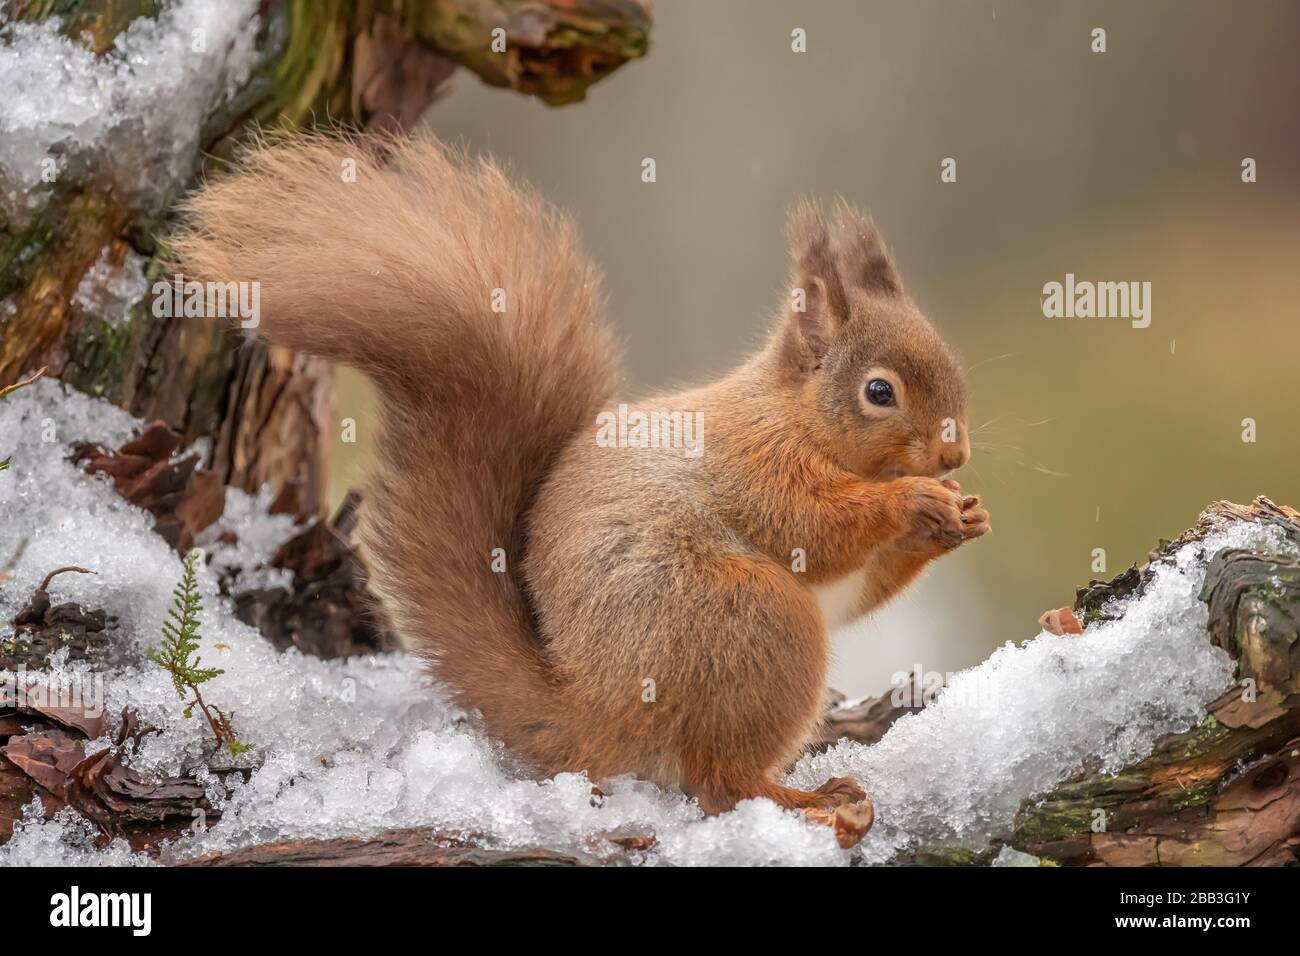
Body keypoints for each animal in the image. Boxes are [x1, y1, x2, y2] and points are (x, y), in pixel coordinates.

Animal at [174, 133, 988, 817]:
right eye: (879, 392)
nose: (954, 457)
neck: (794, 417)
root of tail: (591, 714)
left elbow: (860, 586)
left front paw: (960, 517)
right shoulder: (759, 470)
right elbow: (815, 530)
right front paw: (912, 500)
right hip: (754, 621)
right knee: (719, 782)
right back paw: (804, 799)